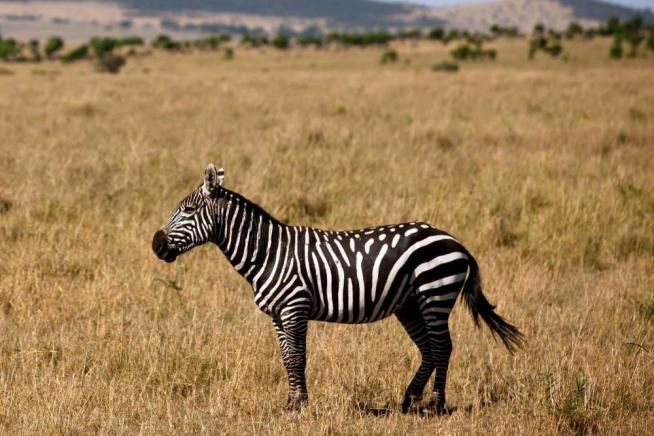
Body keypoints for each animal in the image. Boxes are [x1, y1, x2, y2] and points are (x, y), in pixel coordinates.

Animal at [152, 164, 524, 414]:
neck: (268, 253)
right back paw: (407, 401)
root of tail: (454, 240)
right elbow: (286, 357)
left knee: (443, 347)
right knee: (429, 350)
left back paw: (435, 404)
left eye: (187, 210)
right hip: (410, 305)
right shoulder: (278, 314)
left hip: (435, 295)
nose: (156, 245)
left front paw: (301, 406)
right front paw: (290, 403)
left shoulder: (296, 308)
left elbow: (298, 357)